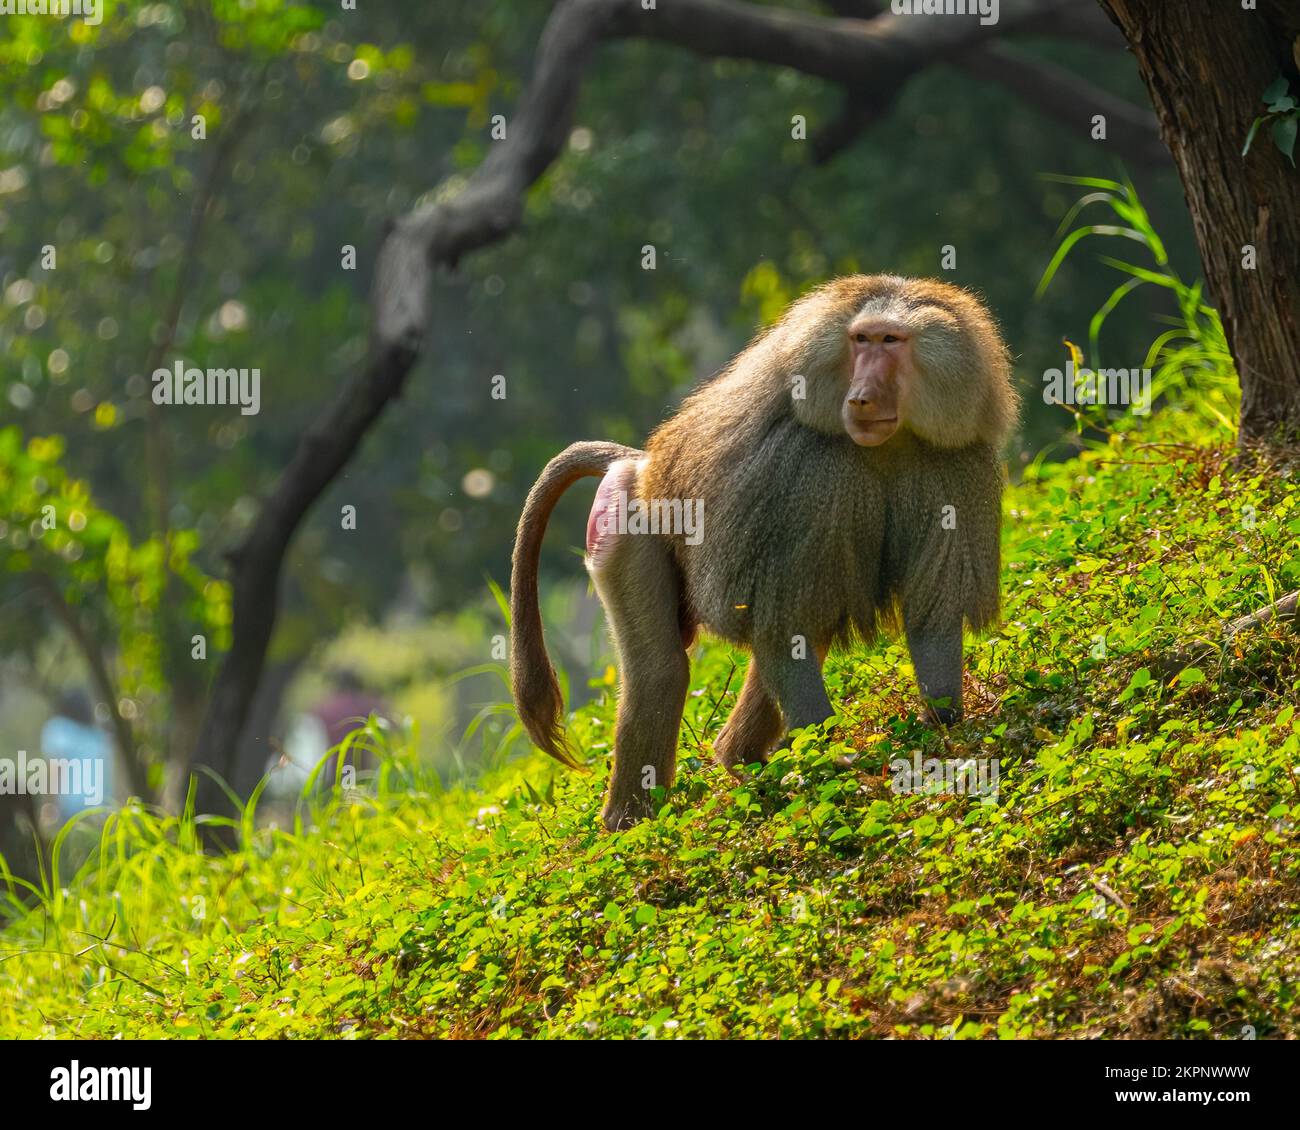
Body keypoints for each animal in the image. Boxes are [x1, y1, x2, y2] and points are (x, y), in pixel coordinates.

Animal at [510, 275, 1017, 831]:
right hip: (624, 522)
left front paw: (940, 729)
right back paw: (634, 824)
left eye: (891, 342)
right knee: (664, 670)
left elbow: (931, 620)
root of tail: (641, 463)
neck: (891, 443)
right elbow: (778, 625)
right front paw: (838, 763)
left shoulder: (957, 467)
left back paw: (740, 759)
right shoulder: (803, 473)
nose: (861, 399)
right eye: (861, 340)